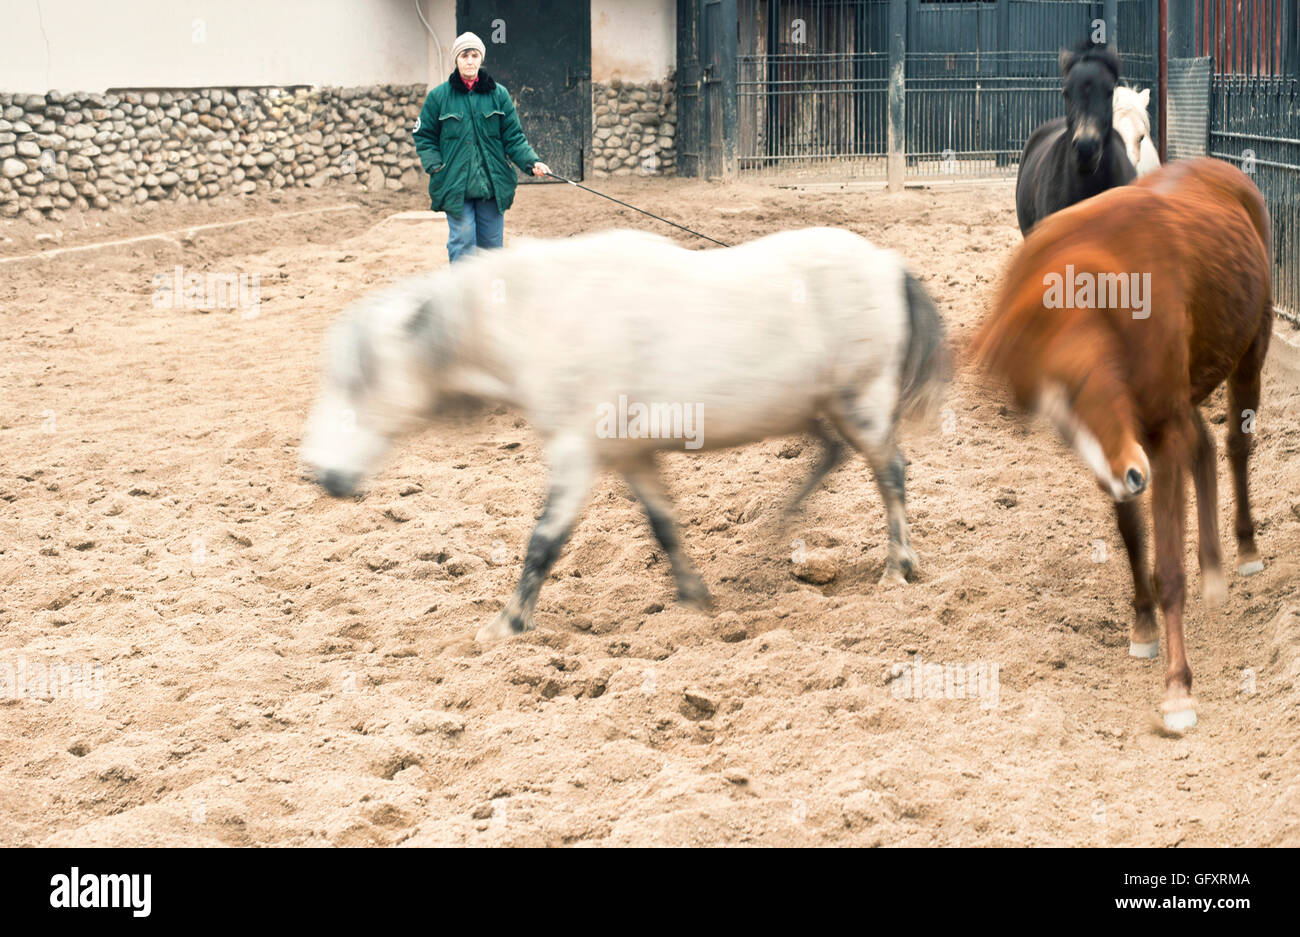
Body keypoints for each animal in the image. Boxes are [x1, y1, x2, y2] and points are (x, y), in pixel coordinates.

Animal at [301, 227, 950, 644]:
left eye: (360, 381)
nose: (322, 475)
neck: (540, 316)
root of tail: (887, 264)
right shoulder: (632, 456)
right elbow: (663, 526)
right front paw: (695, 600)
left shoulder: (575, 454)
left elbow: (543, 542)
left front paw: (505, 626)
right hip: (819, 407)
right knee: (833, 456)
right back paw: (780, 524)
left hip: (861, 404)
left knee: (890, 474)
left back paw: (896, 567)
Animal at [974, 158, 1273, 731]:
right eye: (1054, 410)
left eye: (1099, 380)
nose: (1132, 473)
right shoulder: (1123, 450)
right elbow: (1134, 537)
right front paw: (1143, 625)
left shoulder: (1158, 433)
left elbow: (1168, 564)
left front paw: (1178, 689)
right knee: (1203, 447)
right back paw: (1214, 569)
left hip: (1250, 351)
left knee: (1234, 447)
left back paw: (1244, 549)